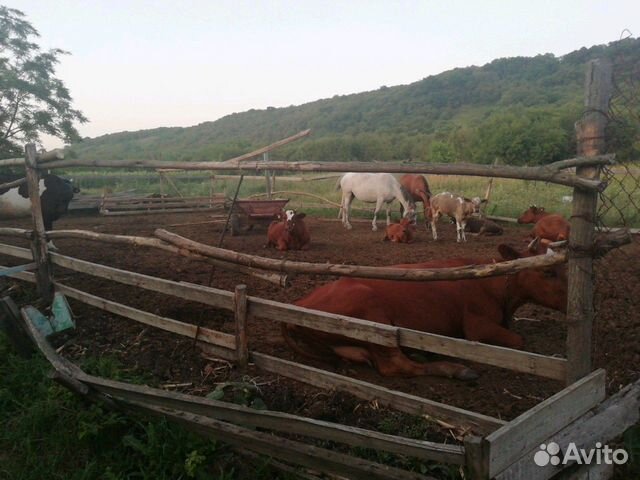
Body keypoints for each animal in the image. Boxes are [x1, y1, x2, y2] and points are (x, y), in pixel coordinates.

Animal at [282, 244, 567, 380]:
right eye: (547, 271)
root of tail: (299, 304)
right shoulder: (476, 327)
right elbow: (520, 340)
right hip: (374, 318)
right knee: (396, 366)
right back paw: (456, 369)